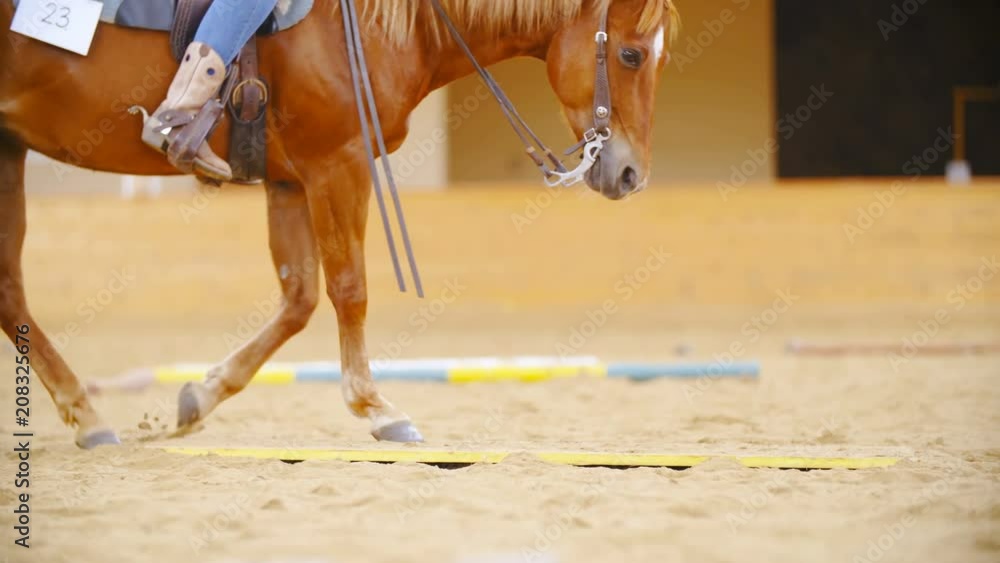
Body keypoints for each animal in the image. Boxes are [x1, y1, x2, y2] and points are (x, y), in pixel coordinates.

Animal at [0, 0, 678, 448]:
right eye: (629, 53)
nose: (629, 175)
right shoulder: (338, 163)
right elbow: (349, 289)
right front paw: (377, 407)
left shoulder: (289, 180)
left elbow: (298, 298)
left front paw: (201, 394)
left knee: (12, 295)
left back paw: (88, 417)